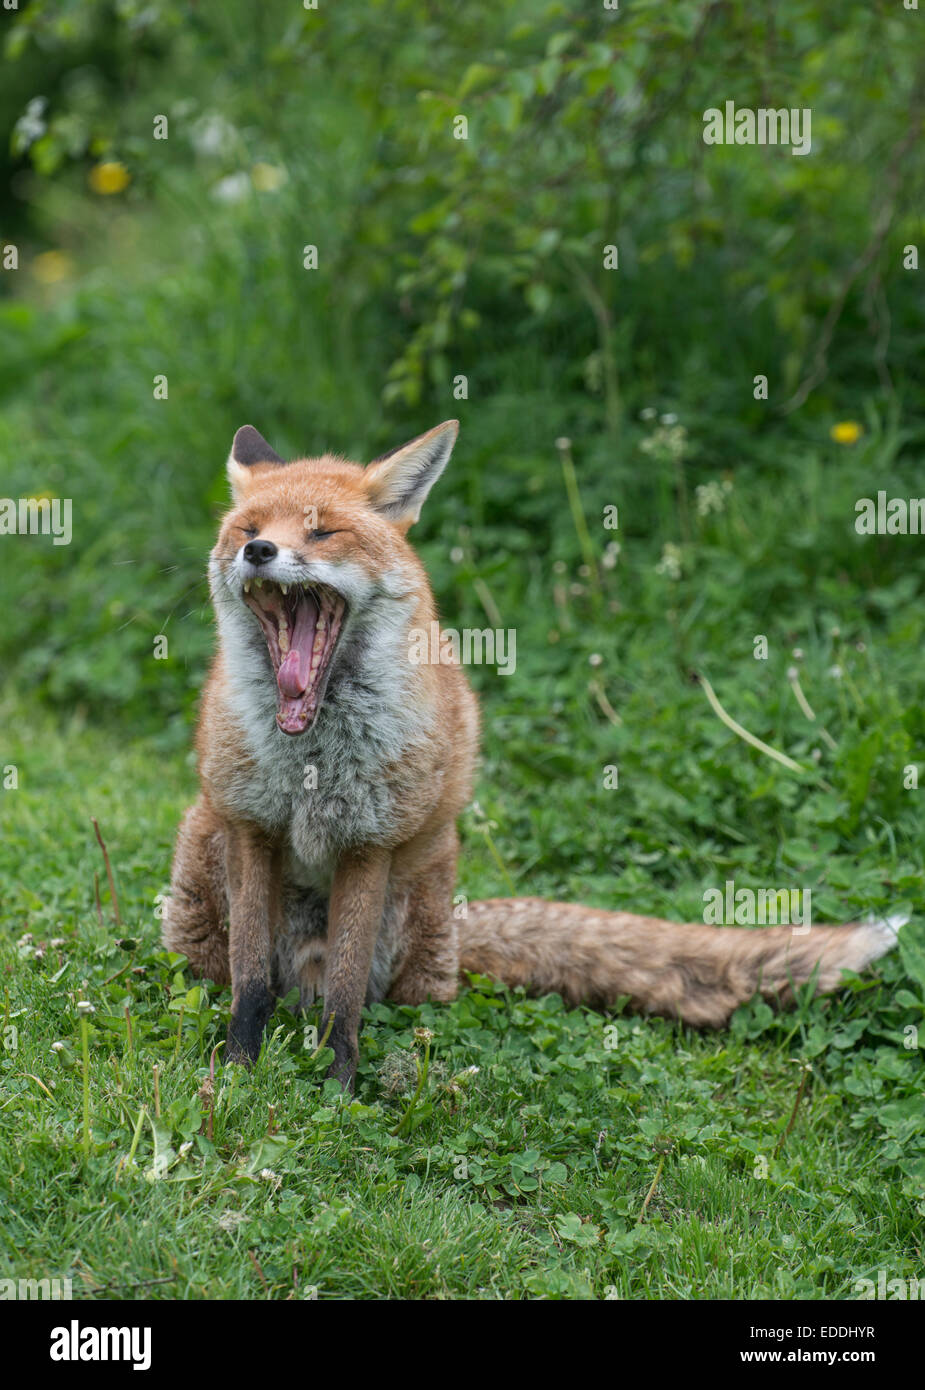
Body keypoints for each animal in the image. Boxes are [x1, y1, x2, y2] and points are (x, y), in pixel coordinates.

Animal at [164, 419, 904, 1090]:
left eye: (321, 533)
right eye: (248, 528)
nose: (260, 552)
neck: (311, 759)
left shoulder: (368, 844)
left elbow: (345, 1001)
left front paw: (340, 1090)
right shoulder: (251, 827)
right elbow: (250, 982)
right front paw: (236, 1074)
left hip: (417, 911)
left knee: (370, 994)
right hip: (201, 853)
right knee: (249, 977)